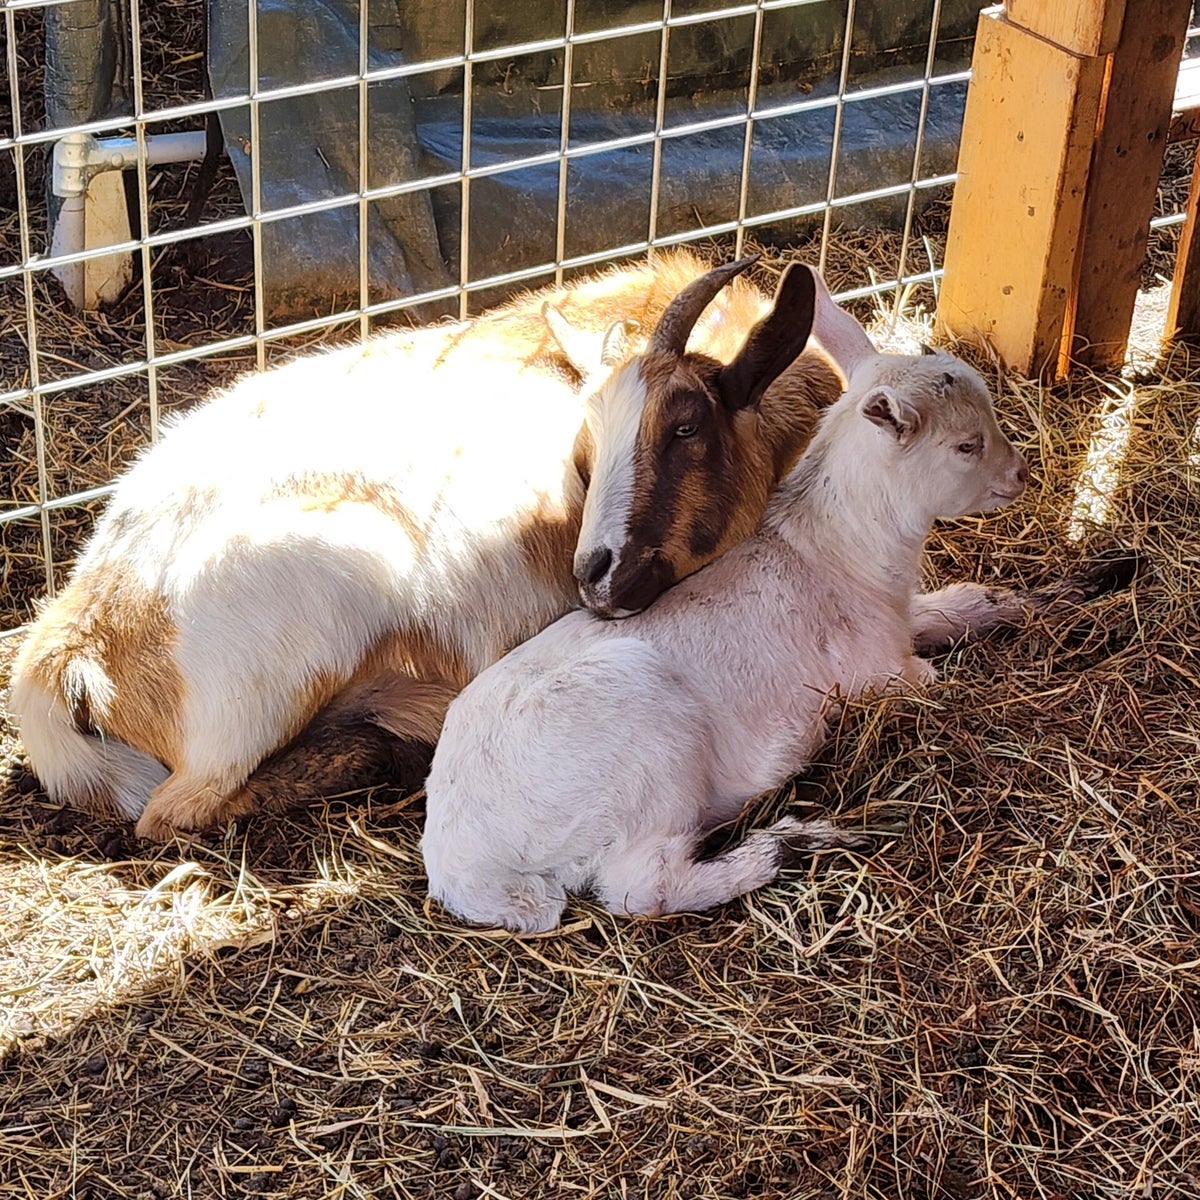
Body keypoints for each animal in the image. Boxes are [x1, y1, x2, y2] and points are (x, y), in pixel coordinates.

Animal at [421, 261, 1043, 933]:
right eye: (966, 445)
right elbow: (932, 679)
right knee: (642, 888)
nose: (1021, 476)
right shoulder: (881, 673)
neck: (829, 550)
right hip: (650, 763)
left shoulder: (902, 617)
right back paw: (793, 841)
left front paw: (1016, 603)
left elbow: (954, 607)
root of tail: (464, 869)